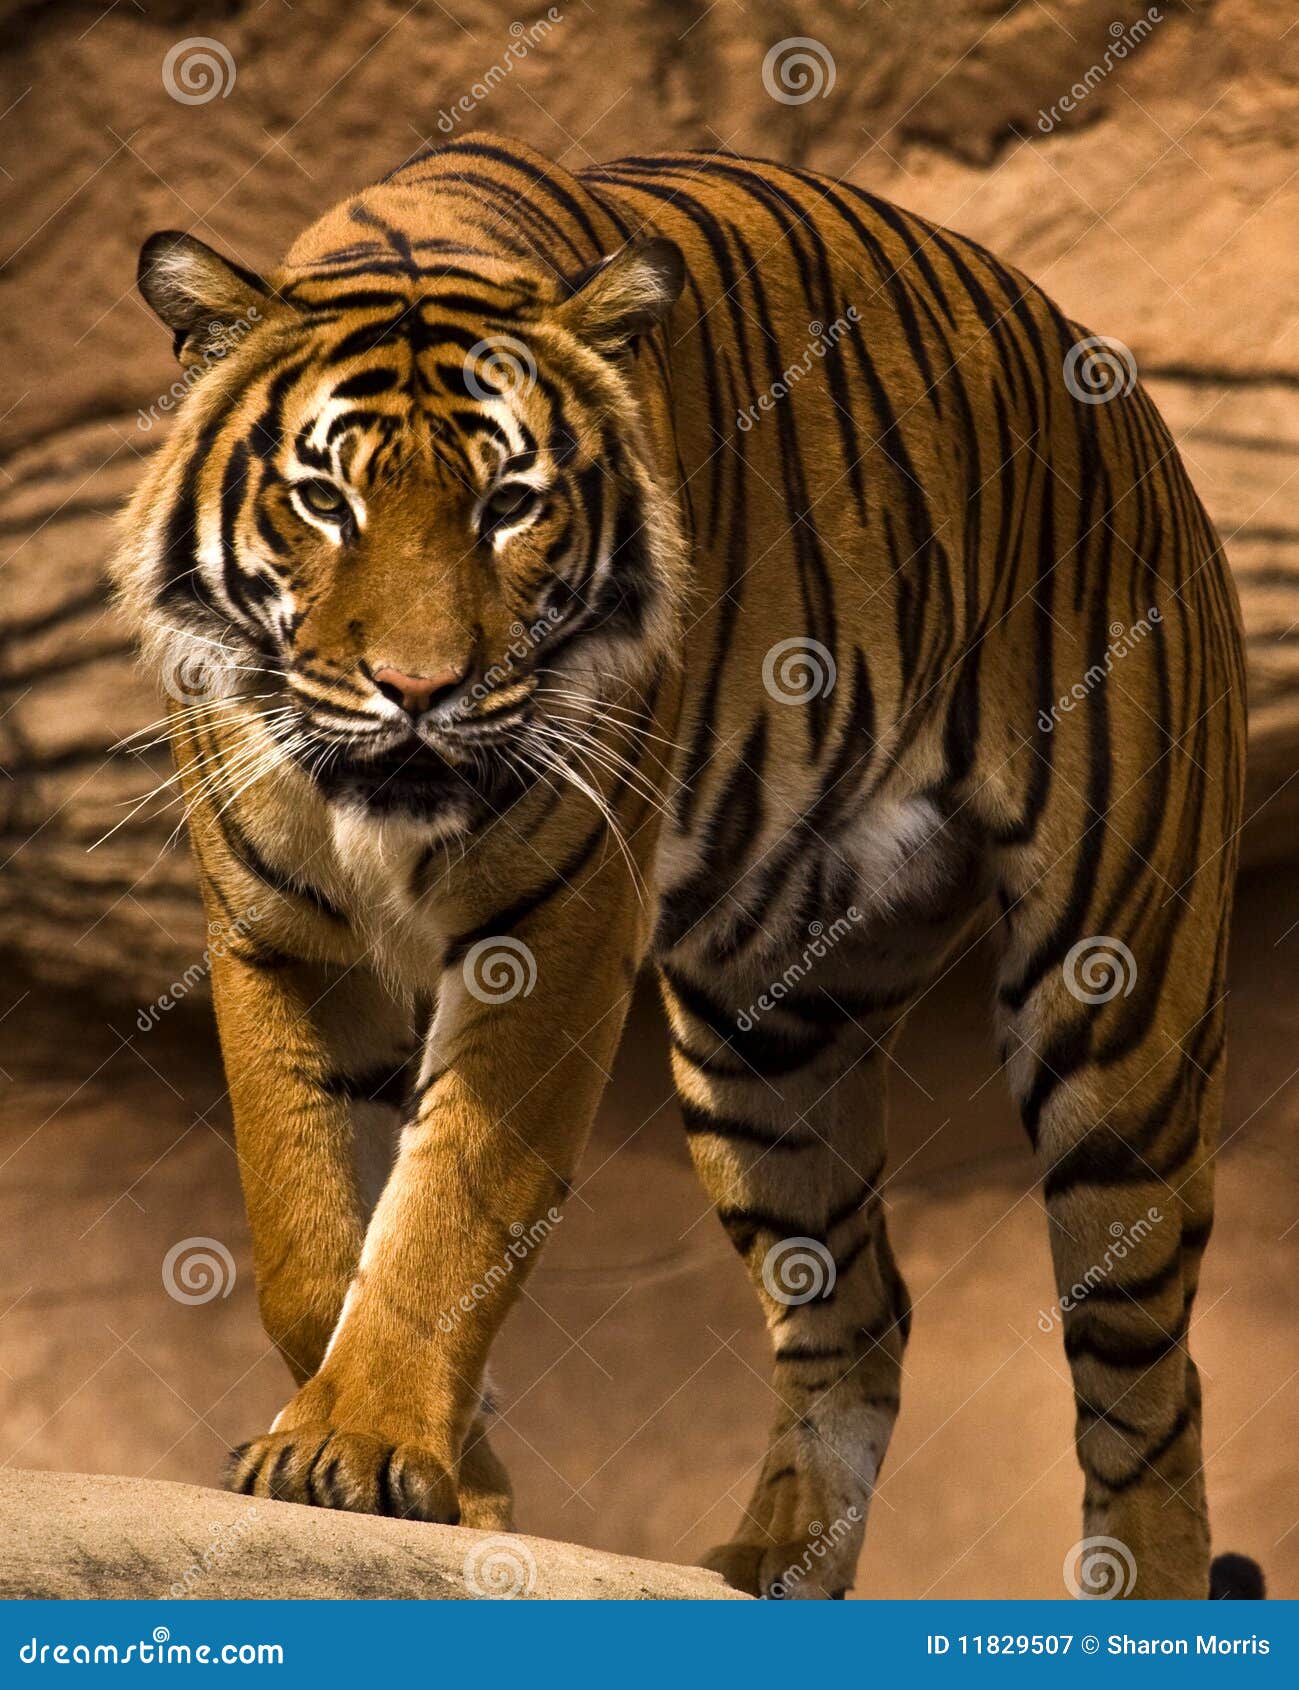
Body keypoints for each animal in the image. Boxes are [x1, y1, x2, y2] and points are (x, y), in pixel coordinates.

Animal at [110, 130, 1257, 1601]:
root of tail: (1131, 407)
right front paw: (444, 1470)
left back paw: (1146, 1587)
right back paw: (774, 1562)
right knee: (863, 1305)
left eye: (510, 506)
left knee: (1145, 1369)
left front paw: (361, 1445)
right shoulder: (277, 936)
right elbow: (307, 1235)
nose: (417, 691)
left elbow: (445, 1206)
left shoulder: (550, 930)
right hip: (764, 1040)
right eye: (323, 501)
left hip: (1115, 1007)